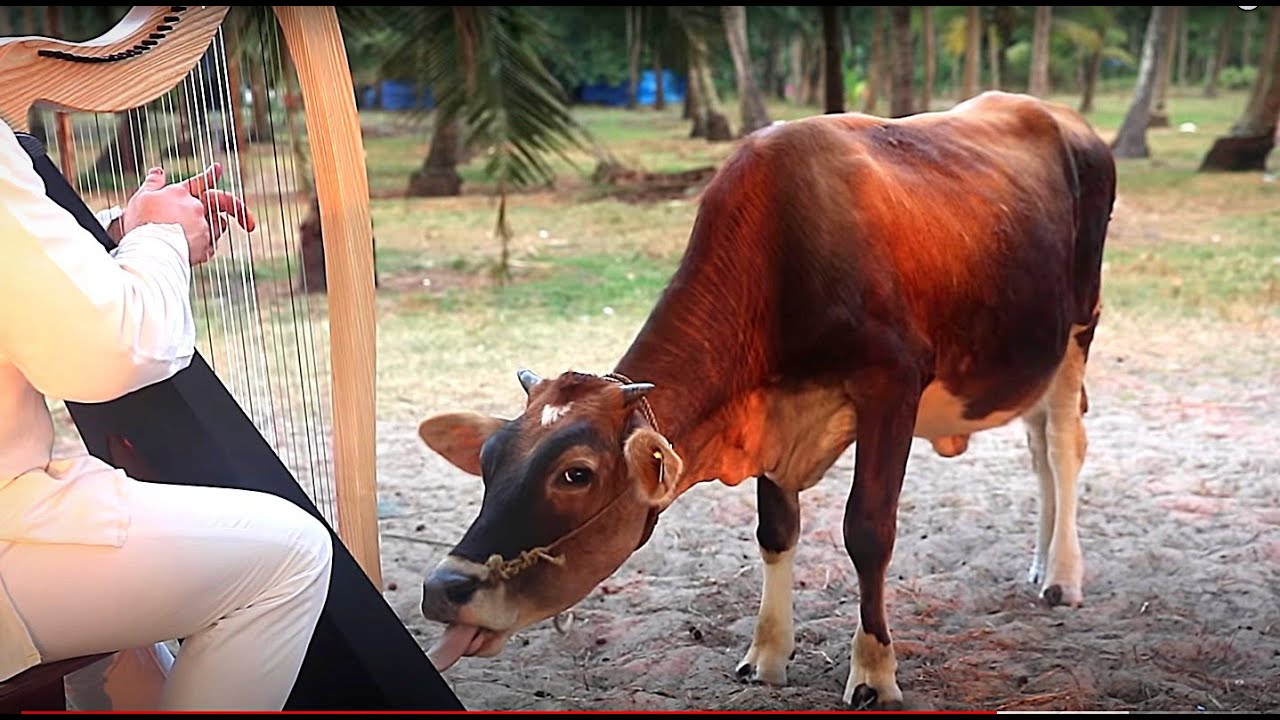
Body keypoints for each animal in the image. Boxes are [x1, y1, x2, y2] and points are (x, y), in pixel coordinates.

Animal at [413, 91, 1116, 710]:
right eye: (488, 460)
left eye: (575, 474)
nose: (444, 588)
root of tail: (1057, 115)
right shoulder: (773, 411)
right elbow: (775, 530)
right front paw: (767, 656)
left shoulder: (893, 382)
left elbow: (868, 529)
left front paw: (874, 673)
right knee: (1038, 450)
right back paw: (1039, 563)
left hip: (1079, 328)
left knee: (1063, 446)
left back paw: (1062, 576)